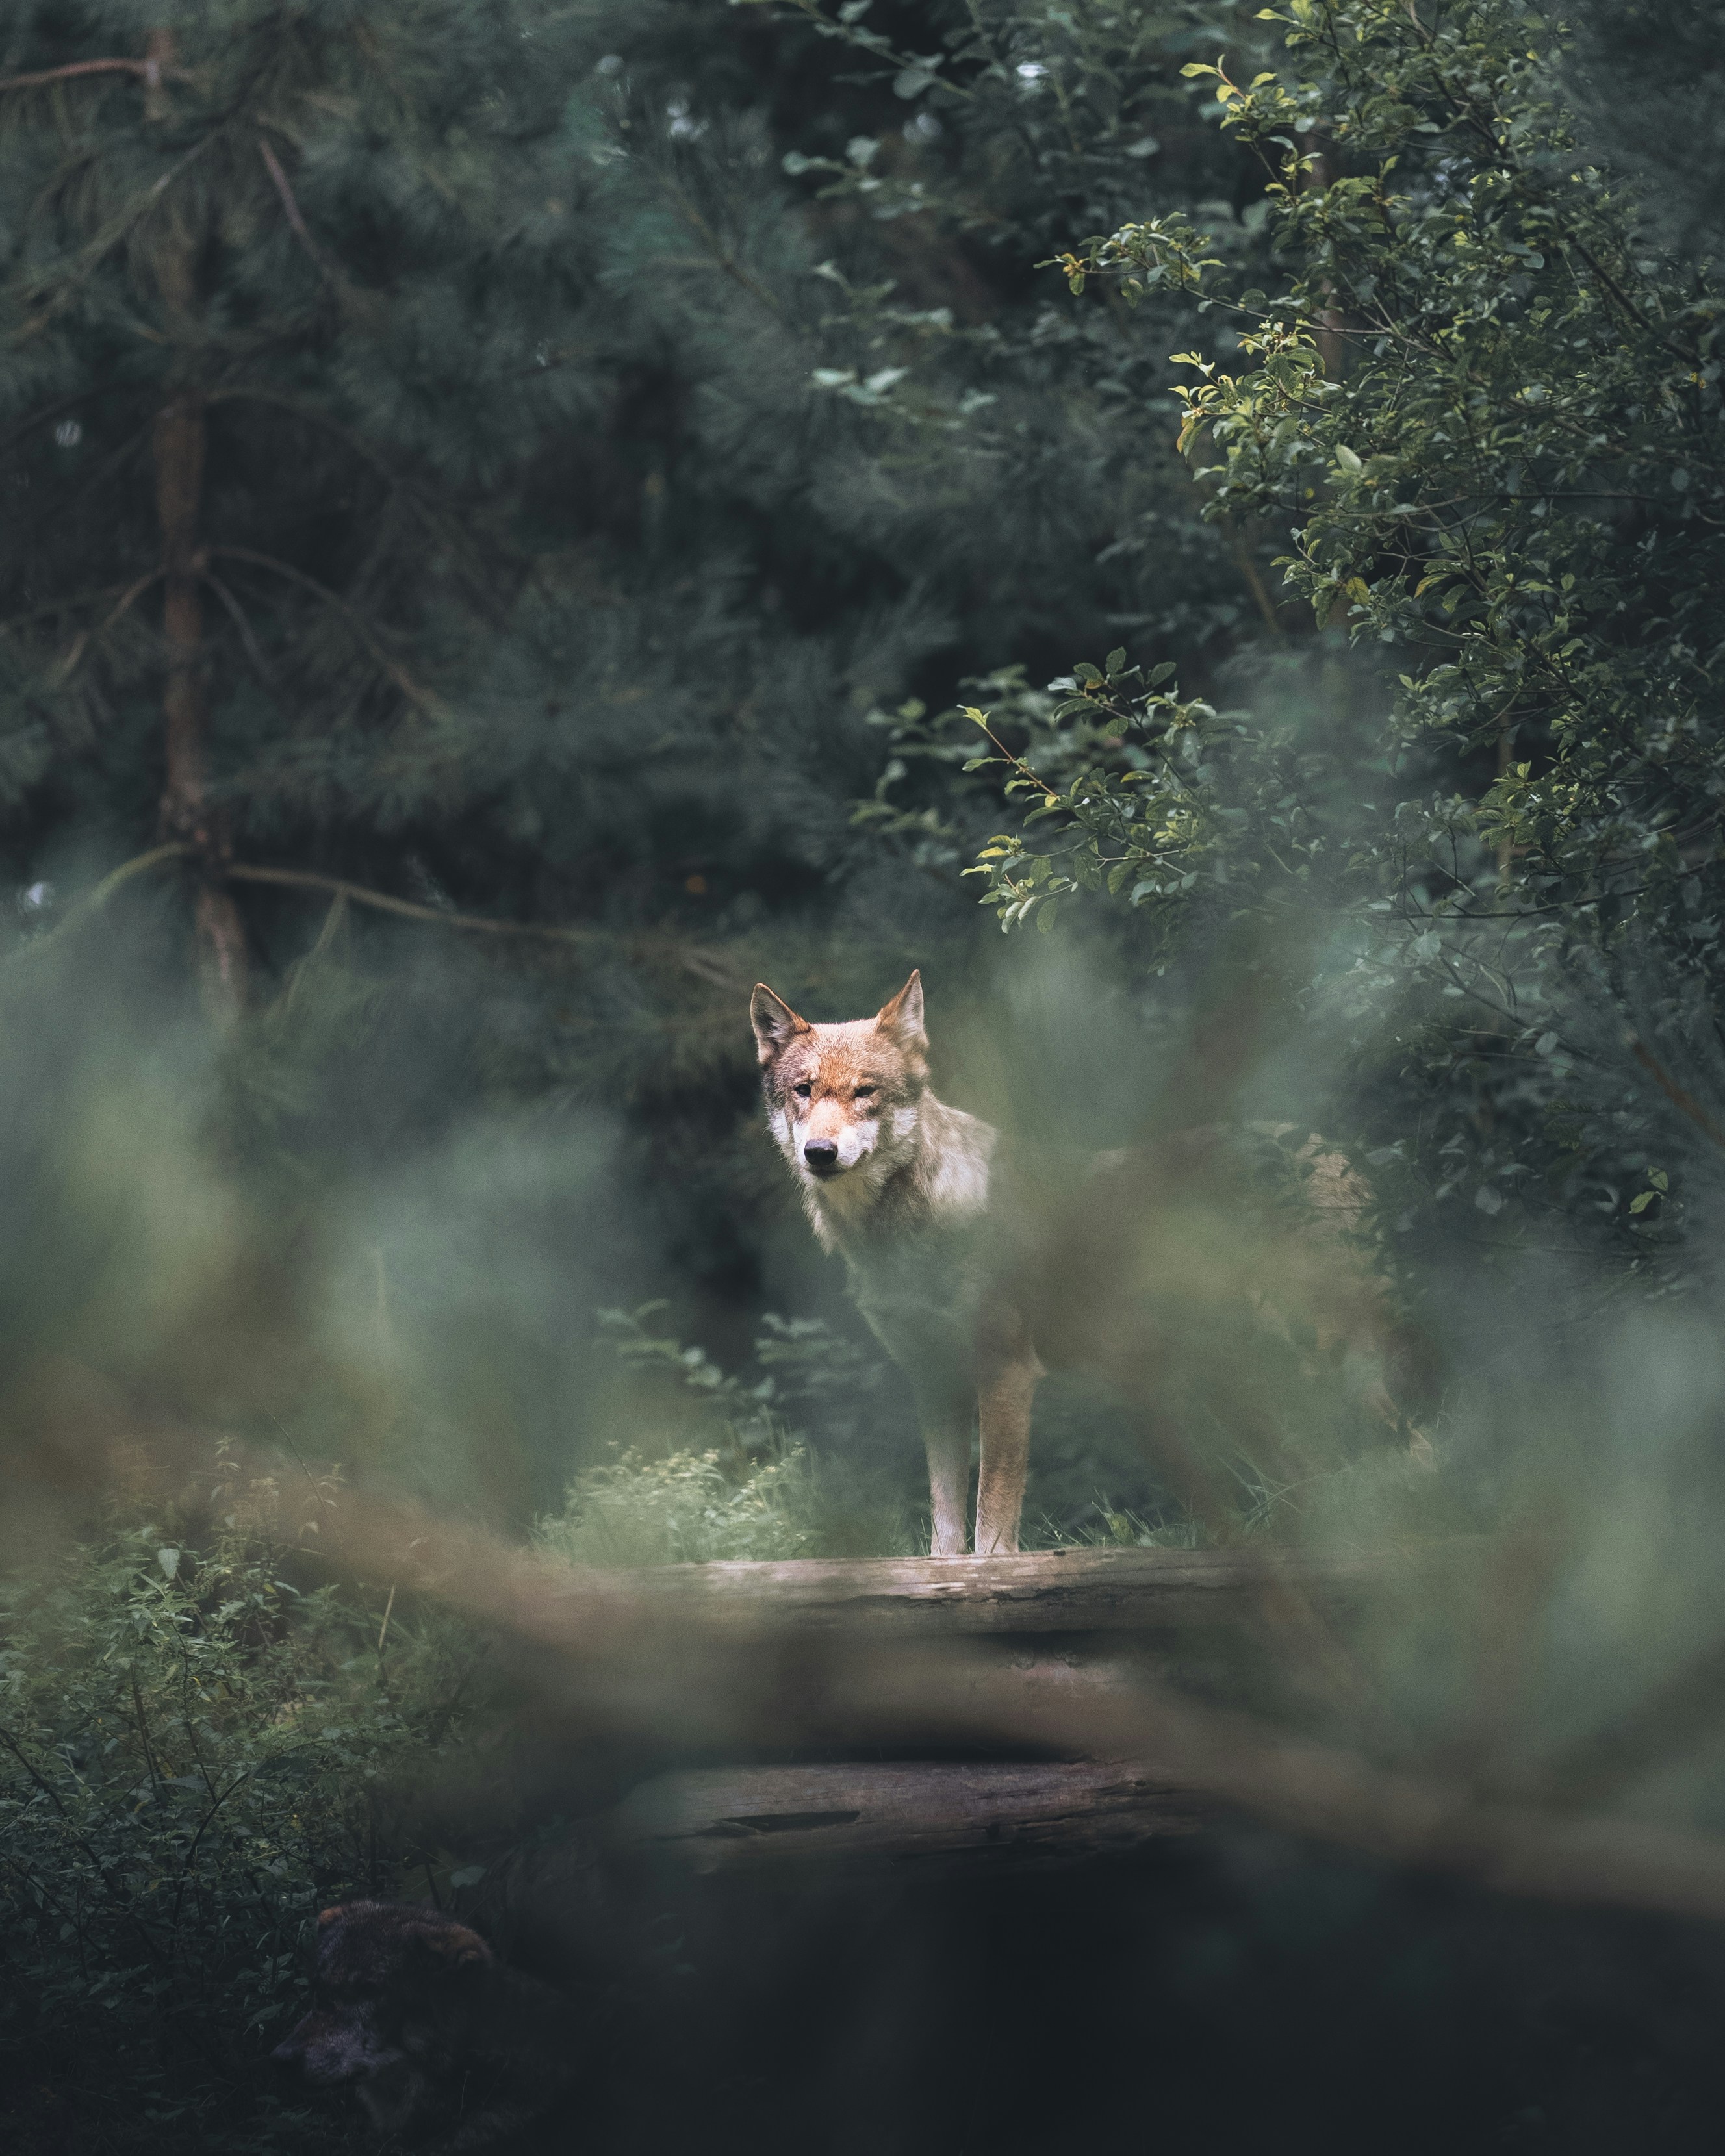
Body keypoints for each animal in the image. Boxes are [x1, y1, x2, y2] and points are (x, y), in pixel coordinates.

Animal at [750, 971, 1422, 1557]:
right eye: (804, 1090)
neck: (899, 1236)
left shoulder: (1006, 1372)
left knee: (1409, 1450)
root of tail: (1343, 1152)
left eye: (865, 1091)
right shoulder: (934, 1383)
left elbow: (991, 1524)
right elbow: (945, 1529)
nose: (820, 1152)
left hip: (1323, 1363)